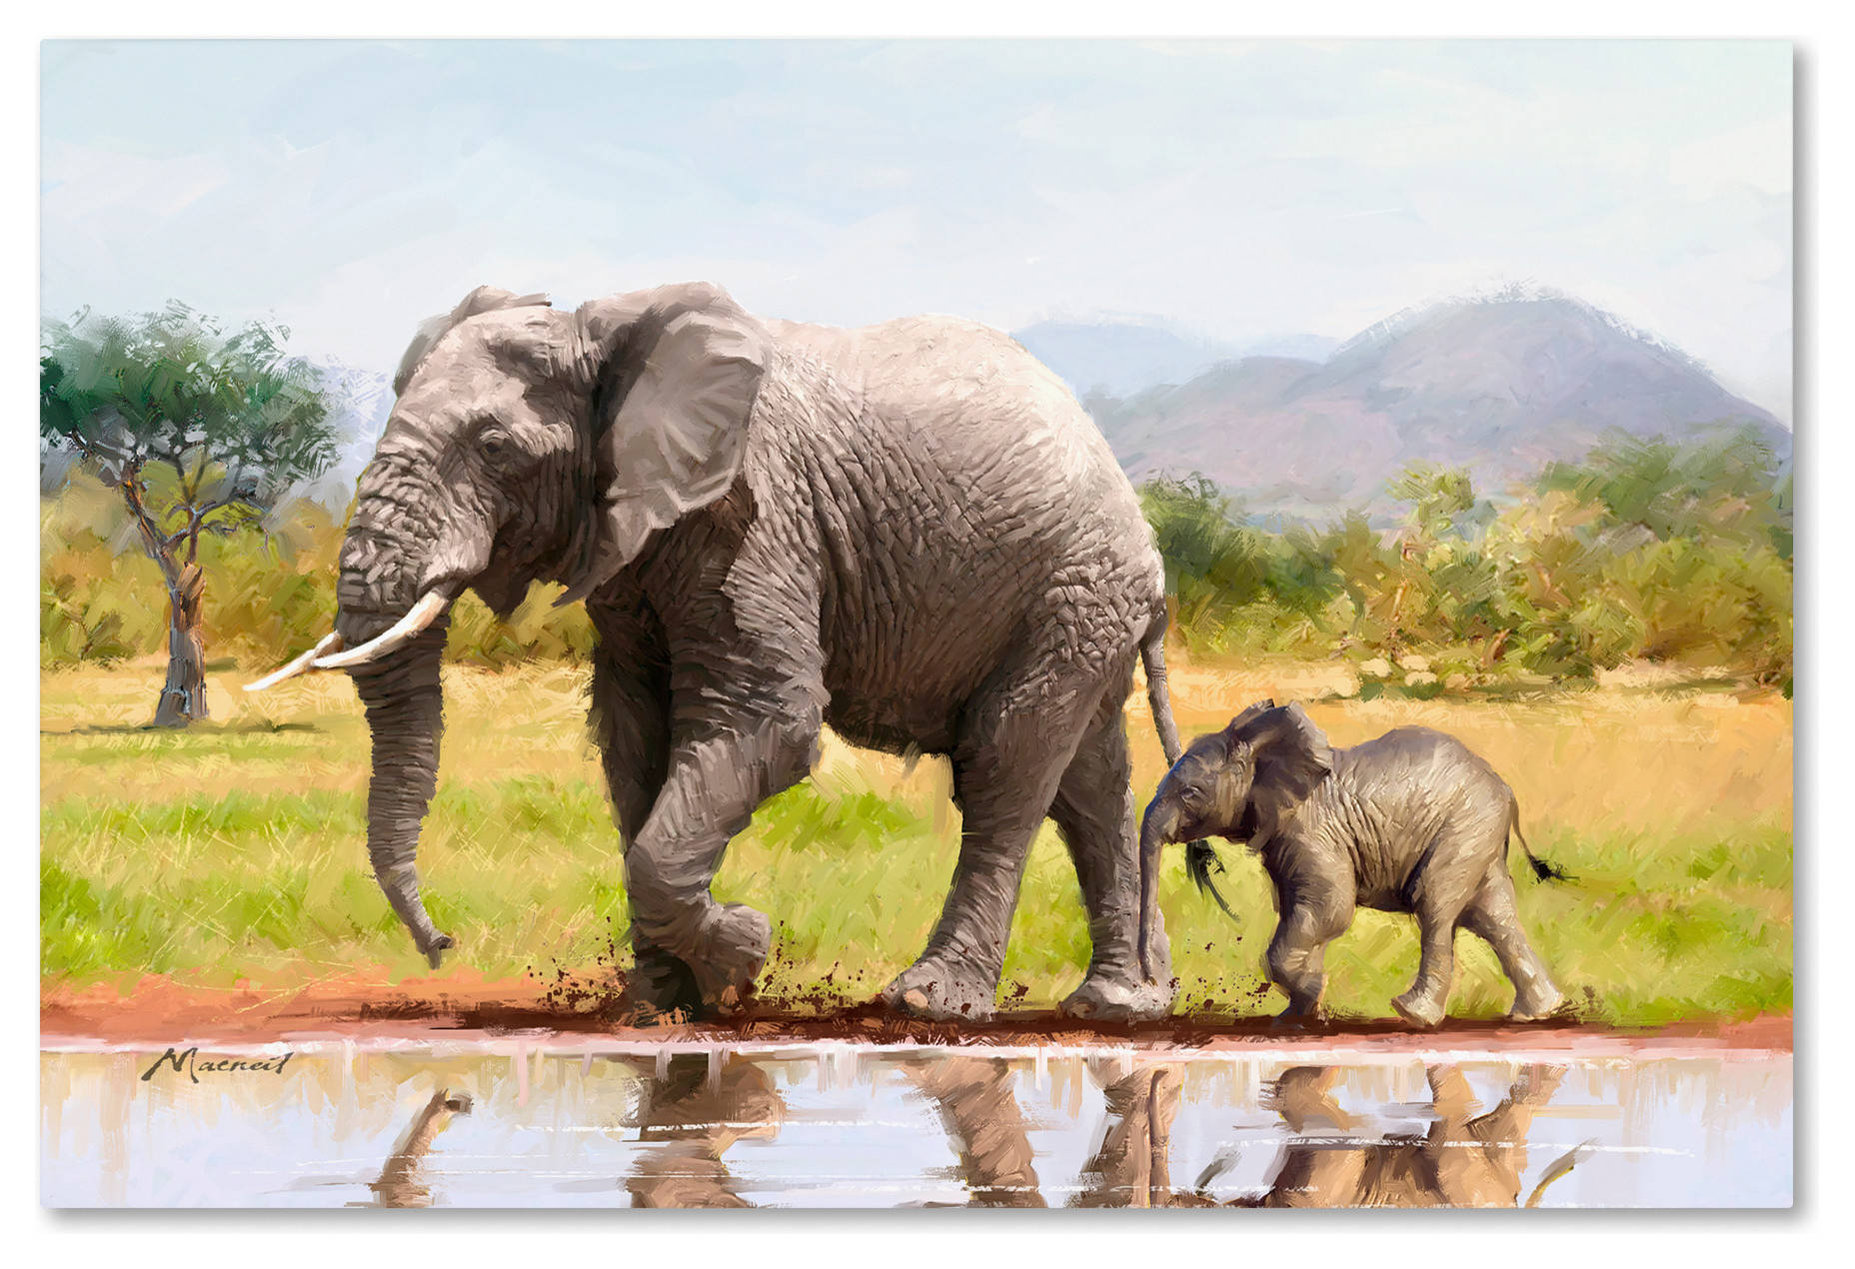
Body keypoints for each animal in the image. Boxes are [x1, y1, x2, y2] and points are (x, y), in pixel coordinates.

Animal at [250, 281, 1195, 1023]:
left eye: (493, 448)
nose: (441, 943)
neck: (602, 328)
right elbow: (636, 735)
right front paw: (660, 1000)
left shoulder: (756, 512)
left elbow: (766, 719)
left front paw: (743, 950)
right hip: (1081, 605)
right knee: (1088, 781)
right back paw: (1121, 1003)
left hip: (1072, 586)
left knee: (1007, 762)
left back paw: (929, 1001)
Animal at [1139, 700, 1568, 1027]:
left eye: (1191, 793)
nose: (1153, 981)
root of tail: (1507, 790)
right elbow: (1300, 910)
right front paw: (1297, 1017)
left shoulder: (1313, 830)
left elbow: (1329, 909)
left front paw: (1314, 992)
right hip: (1479, 836)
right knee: (1493, 915)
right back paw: (1536, 1013)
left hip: (1463, 828)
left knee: (1435, 904)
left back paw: (1412, 1015)